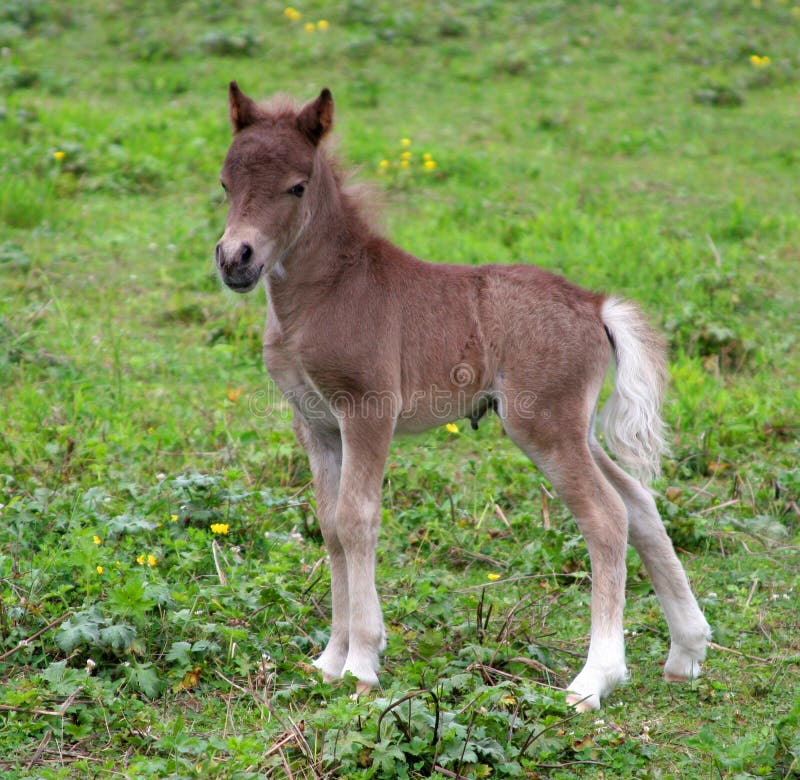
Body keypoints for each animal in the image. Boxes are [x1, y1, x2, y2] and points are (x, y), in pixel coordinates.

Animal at [214, 83, 711, 710]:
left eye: (297, 186)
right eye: (225, 183)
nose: (236, 259)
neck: (327, 292)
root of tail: (594, 305)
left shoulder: (368, 411)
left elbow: (357, 519)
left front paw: (362, 664)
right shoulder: (316, 423)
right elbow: (329, 526)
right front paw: (328, 660)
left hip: (543, 426)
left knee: (606, 516)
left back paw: (594, 680)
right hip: (574, 429)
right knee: (640, 503)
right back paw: (687, 651)